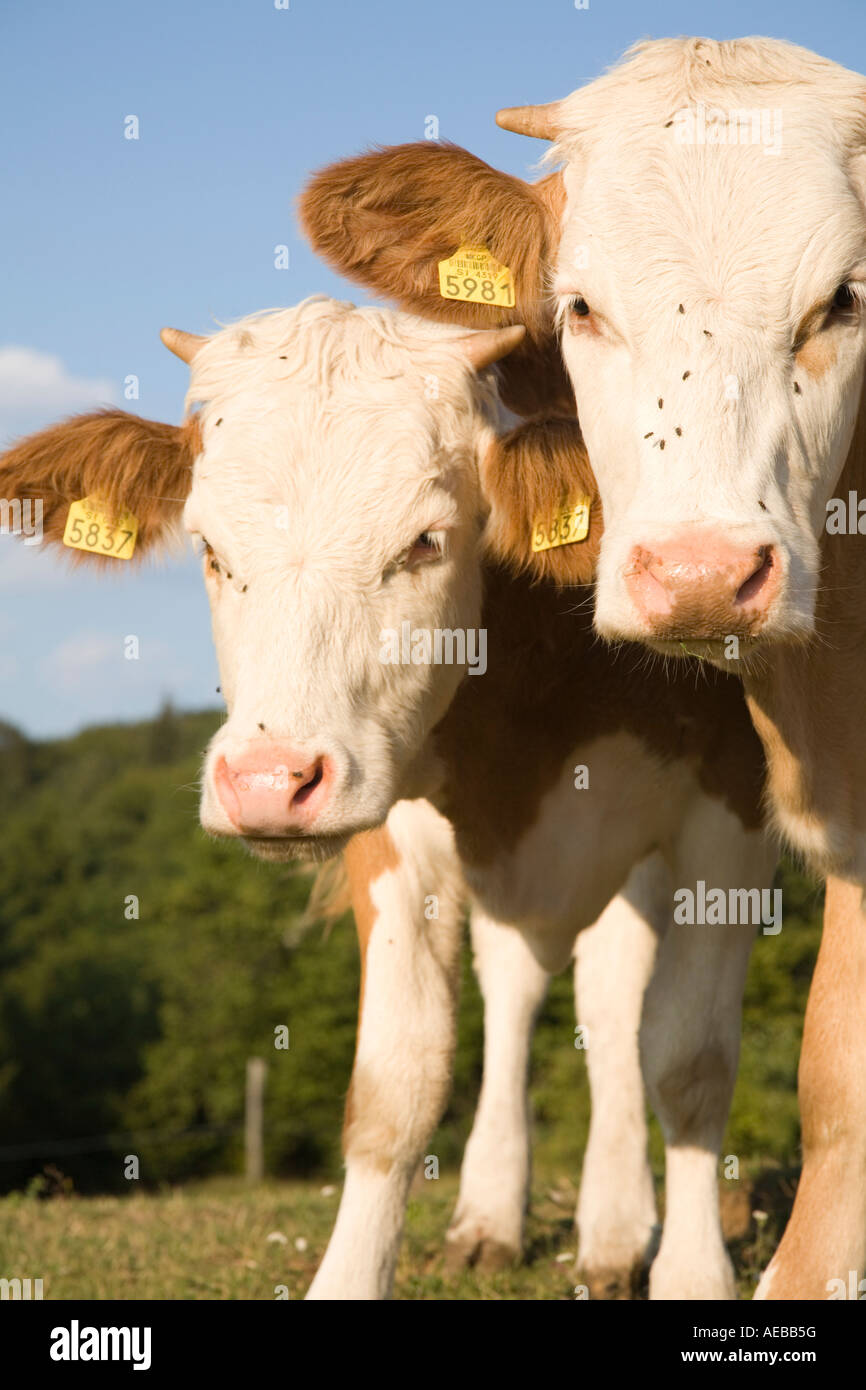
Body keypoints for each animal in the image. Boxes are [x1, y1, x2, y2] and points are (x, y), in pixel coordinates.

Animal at [0, 297, 773, 1299]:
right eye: (209, 549)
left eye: (425, 541)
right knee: (551, 989)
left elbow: (689, 1063)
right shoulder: (392, 820)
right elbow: (397, 1085)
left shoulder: (733, 800)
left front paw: (694, 1274)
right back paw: (510, 1217)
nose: (268, 781)